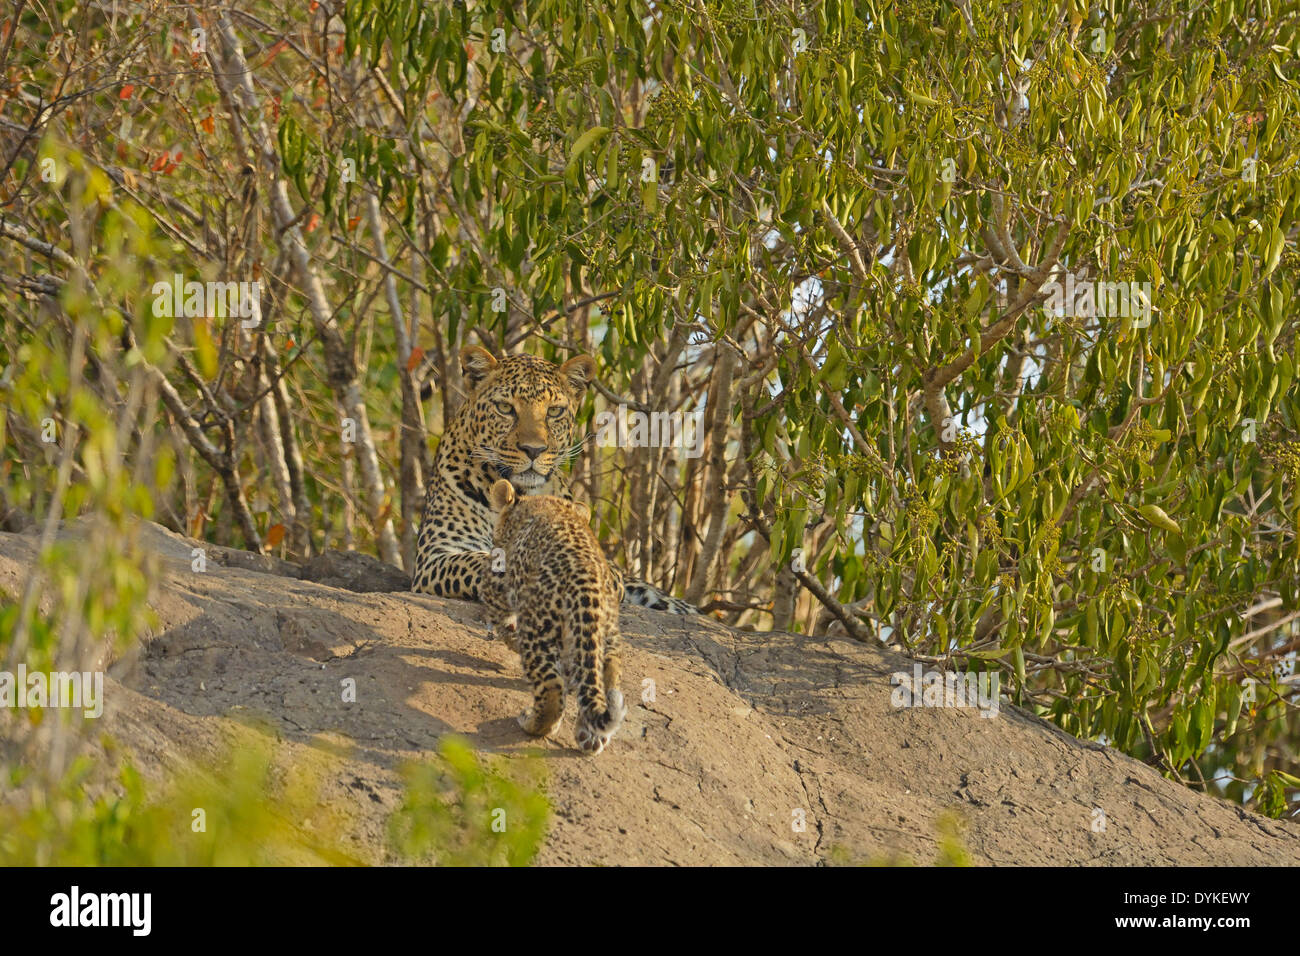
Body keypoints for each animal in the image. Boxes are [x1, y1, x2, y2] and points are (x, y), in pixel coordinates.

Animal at [482, 478, 627, 754]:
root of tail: (588, 584)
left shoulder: (498, 579)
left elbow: (501, 618)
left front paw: (510, 639)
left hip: (539, 629)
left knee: (551, 689)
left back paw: (531, 722)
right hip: (606, 637)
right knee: (606, 679)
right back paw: (590, 737)